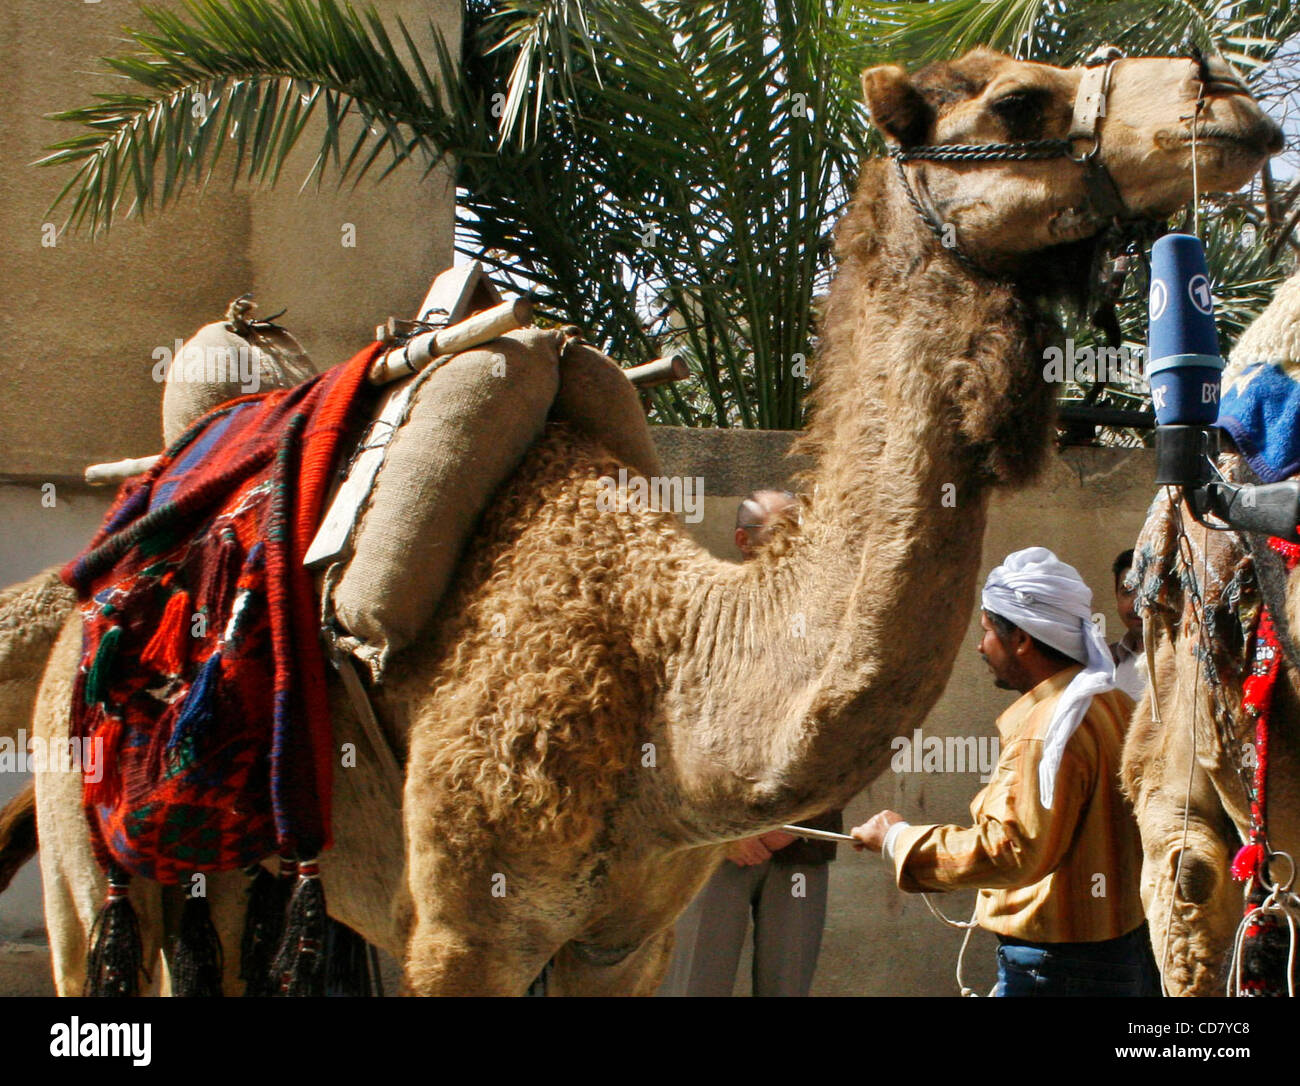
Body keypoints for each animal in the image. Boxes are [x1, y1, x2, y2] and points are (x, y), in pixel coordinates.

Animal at [15, 47, 1281, 995]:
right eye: (1021, 99)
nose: (1228, 98)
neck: (669, 672)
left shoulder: (626, 941)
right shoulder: (457, 940)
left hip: (257, 867)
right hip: (89, 842)